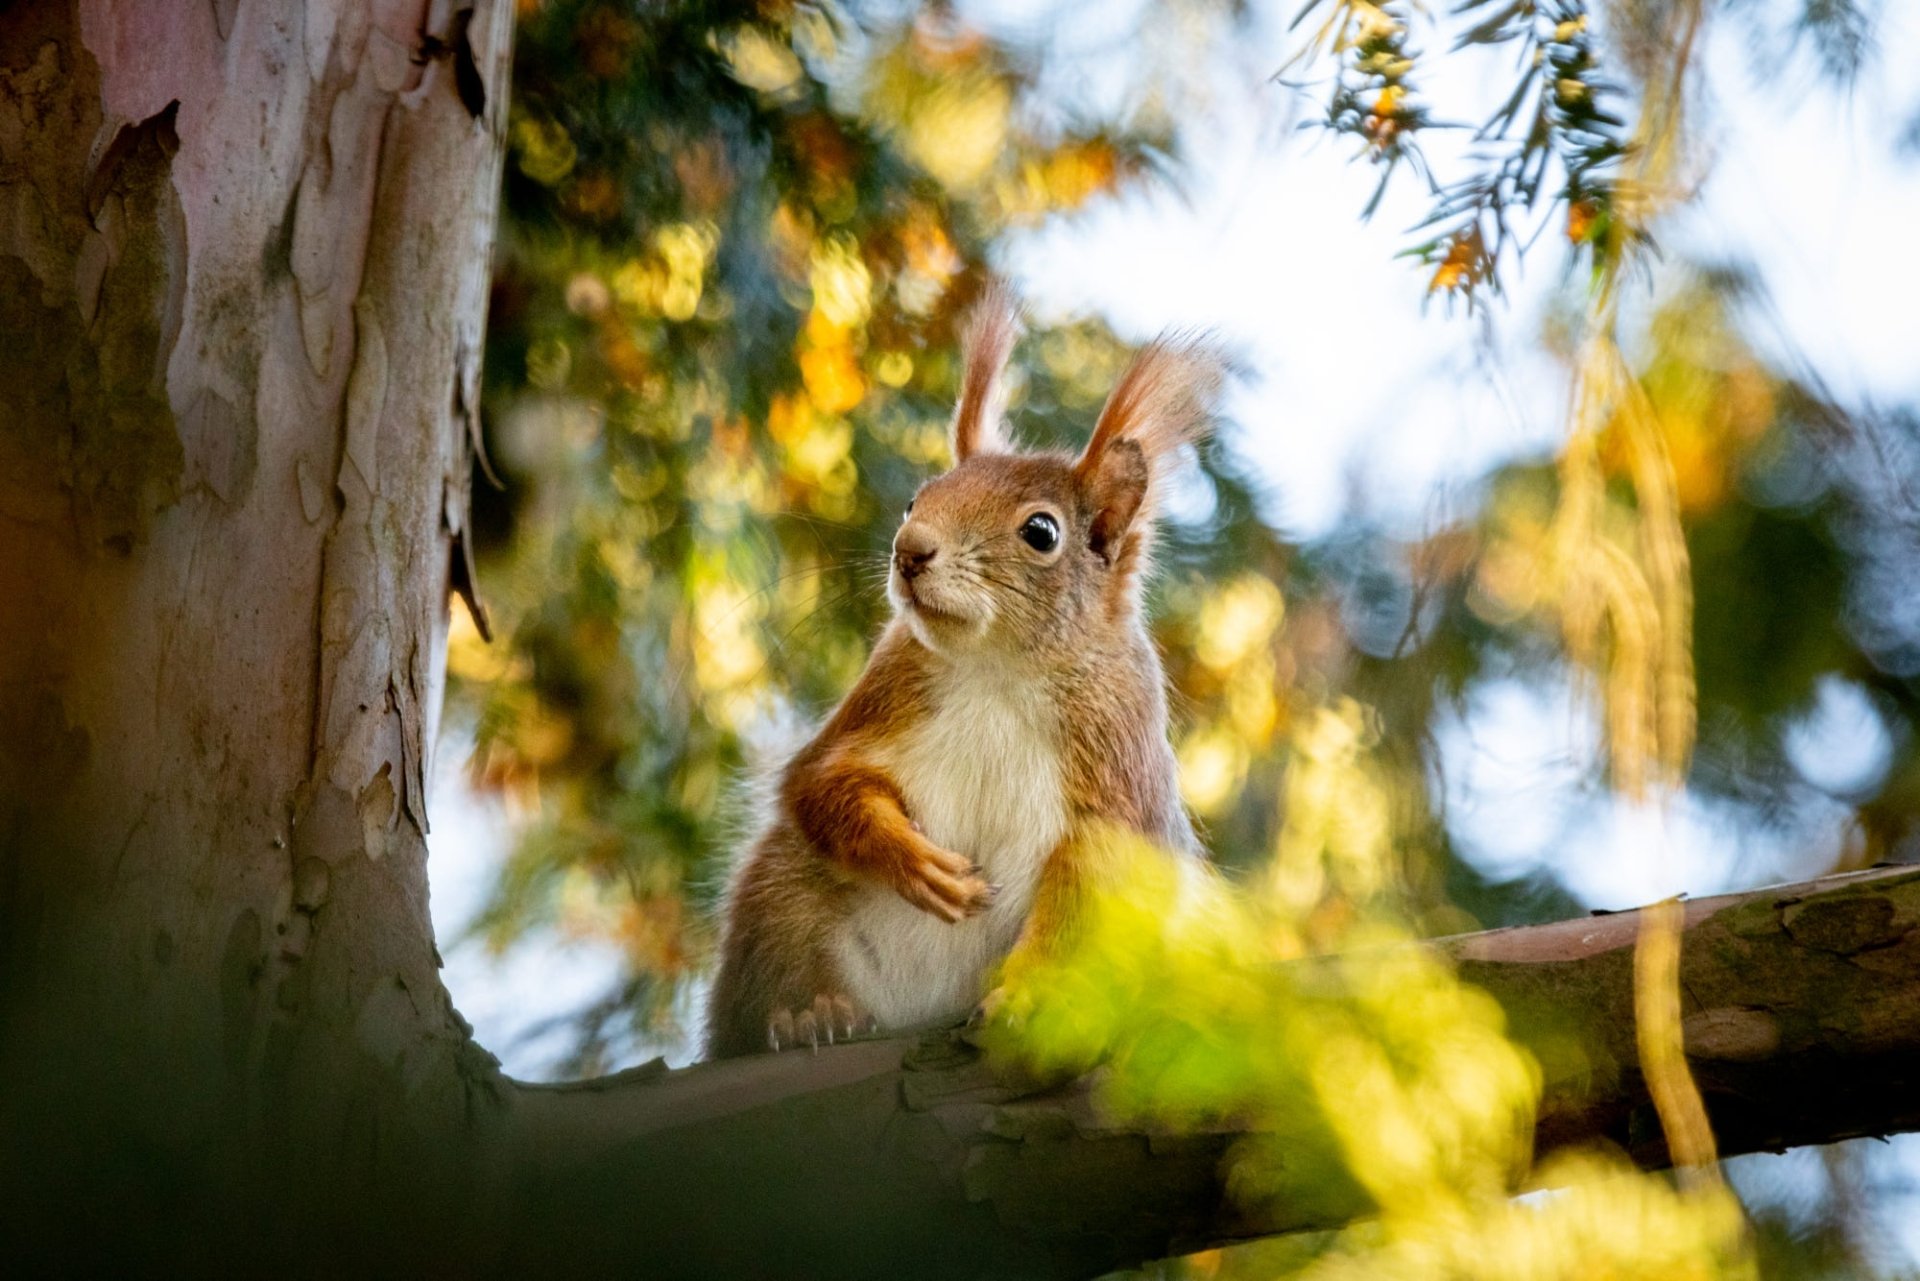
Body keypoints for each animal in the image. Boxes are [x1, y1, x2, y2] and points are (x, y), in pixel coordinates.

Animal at [704, 285, 1225, 1059]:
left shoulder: (1116, 766)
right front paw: (912, 861)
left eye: (1041, 531)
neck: (997, 670)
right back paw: (811, 1016)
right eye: (915, 499)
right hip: (783, 895)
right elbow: (822, 783)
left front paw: (1029, 996)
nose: (909, 549)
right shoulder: (884, 694)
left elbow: (1086, 889)